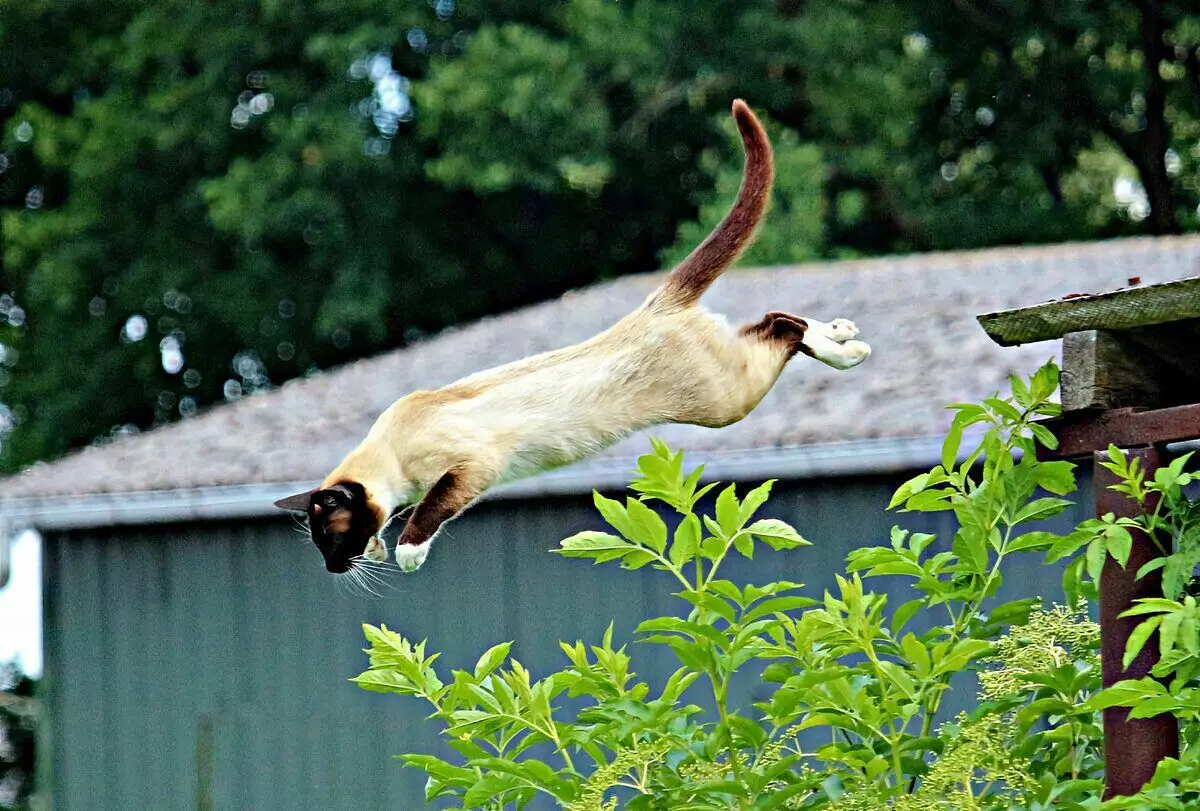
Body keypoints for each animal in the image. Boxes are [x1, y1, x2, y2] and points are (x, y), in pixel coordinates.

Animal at [274, 98, 873, 573]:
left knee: (785, 329)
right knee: (774, 320)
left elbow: (426, 511)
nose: (332, 569)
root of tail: (655, 305)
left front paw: (405, 552)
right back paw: (845, 333)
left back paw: (851, 350)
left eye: (332, 538)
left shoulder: (470, 469)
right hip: (730, 379)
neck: (393, 452)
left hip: (724, 402)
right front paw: (384, 546)